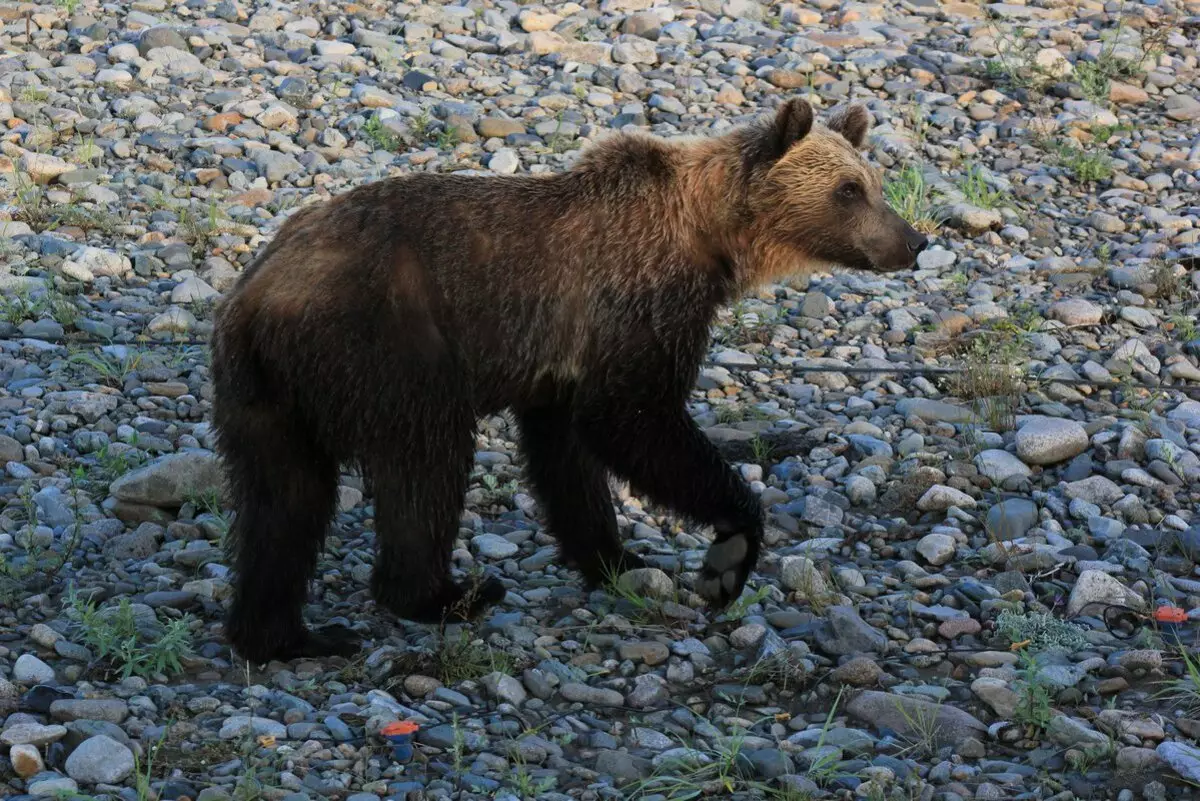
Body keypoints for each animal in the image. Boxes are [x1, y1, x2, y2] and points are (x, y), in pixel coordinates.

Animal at [213, 95, 926, 661]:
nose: (913, 241)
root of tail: (258, 299)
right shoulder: (637, 302)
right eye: (849, 189)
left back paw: (286, 636)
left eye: (873, 180)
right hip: (388, 341)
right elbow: (635, 421)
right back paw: (445, 593)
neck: (711, 237)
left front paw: (619, 558)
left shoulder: (561, 364)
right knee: (425, 457)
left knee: (284, 501)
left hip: (265, 393)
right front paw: (727, 555)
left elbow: (569, 460)